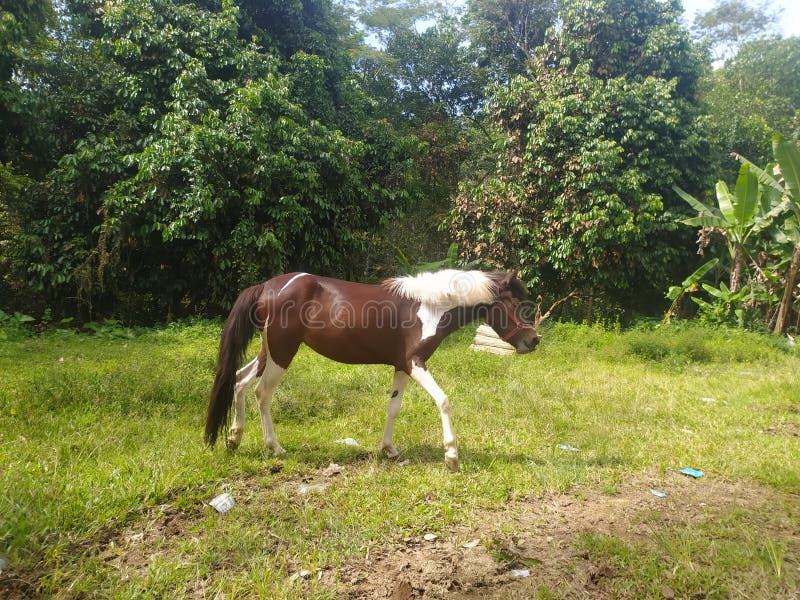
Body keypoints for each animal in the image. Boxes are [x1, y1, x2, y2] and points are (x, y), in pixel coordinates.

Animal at [204, 269, 540, 471]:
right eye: (514, 302)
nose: (533, 341)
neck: (430, 307)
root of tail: (266, 287)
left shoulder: (402, 367)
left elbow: (393, 407)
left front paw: (389, 449)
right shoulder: (415, 363)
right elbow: (443, 401)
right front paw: (451, 456)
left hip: (269, 352)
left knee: (239, 382)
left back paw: (234, 439)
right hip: (282, 354)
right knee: (262, 393)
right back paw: (275, 448)